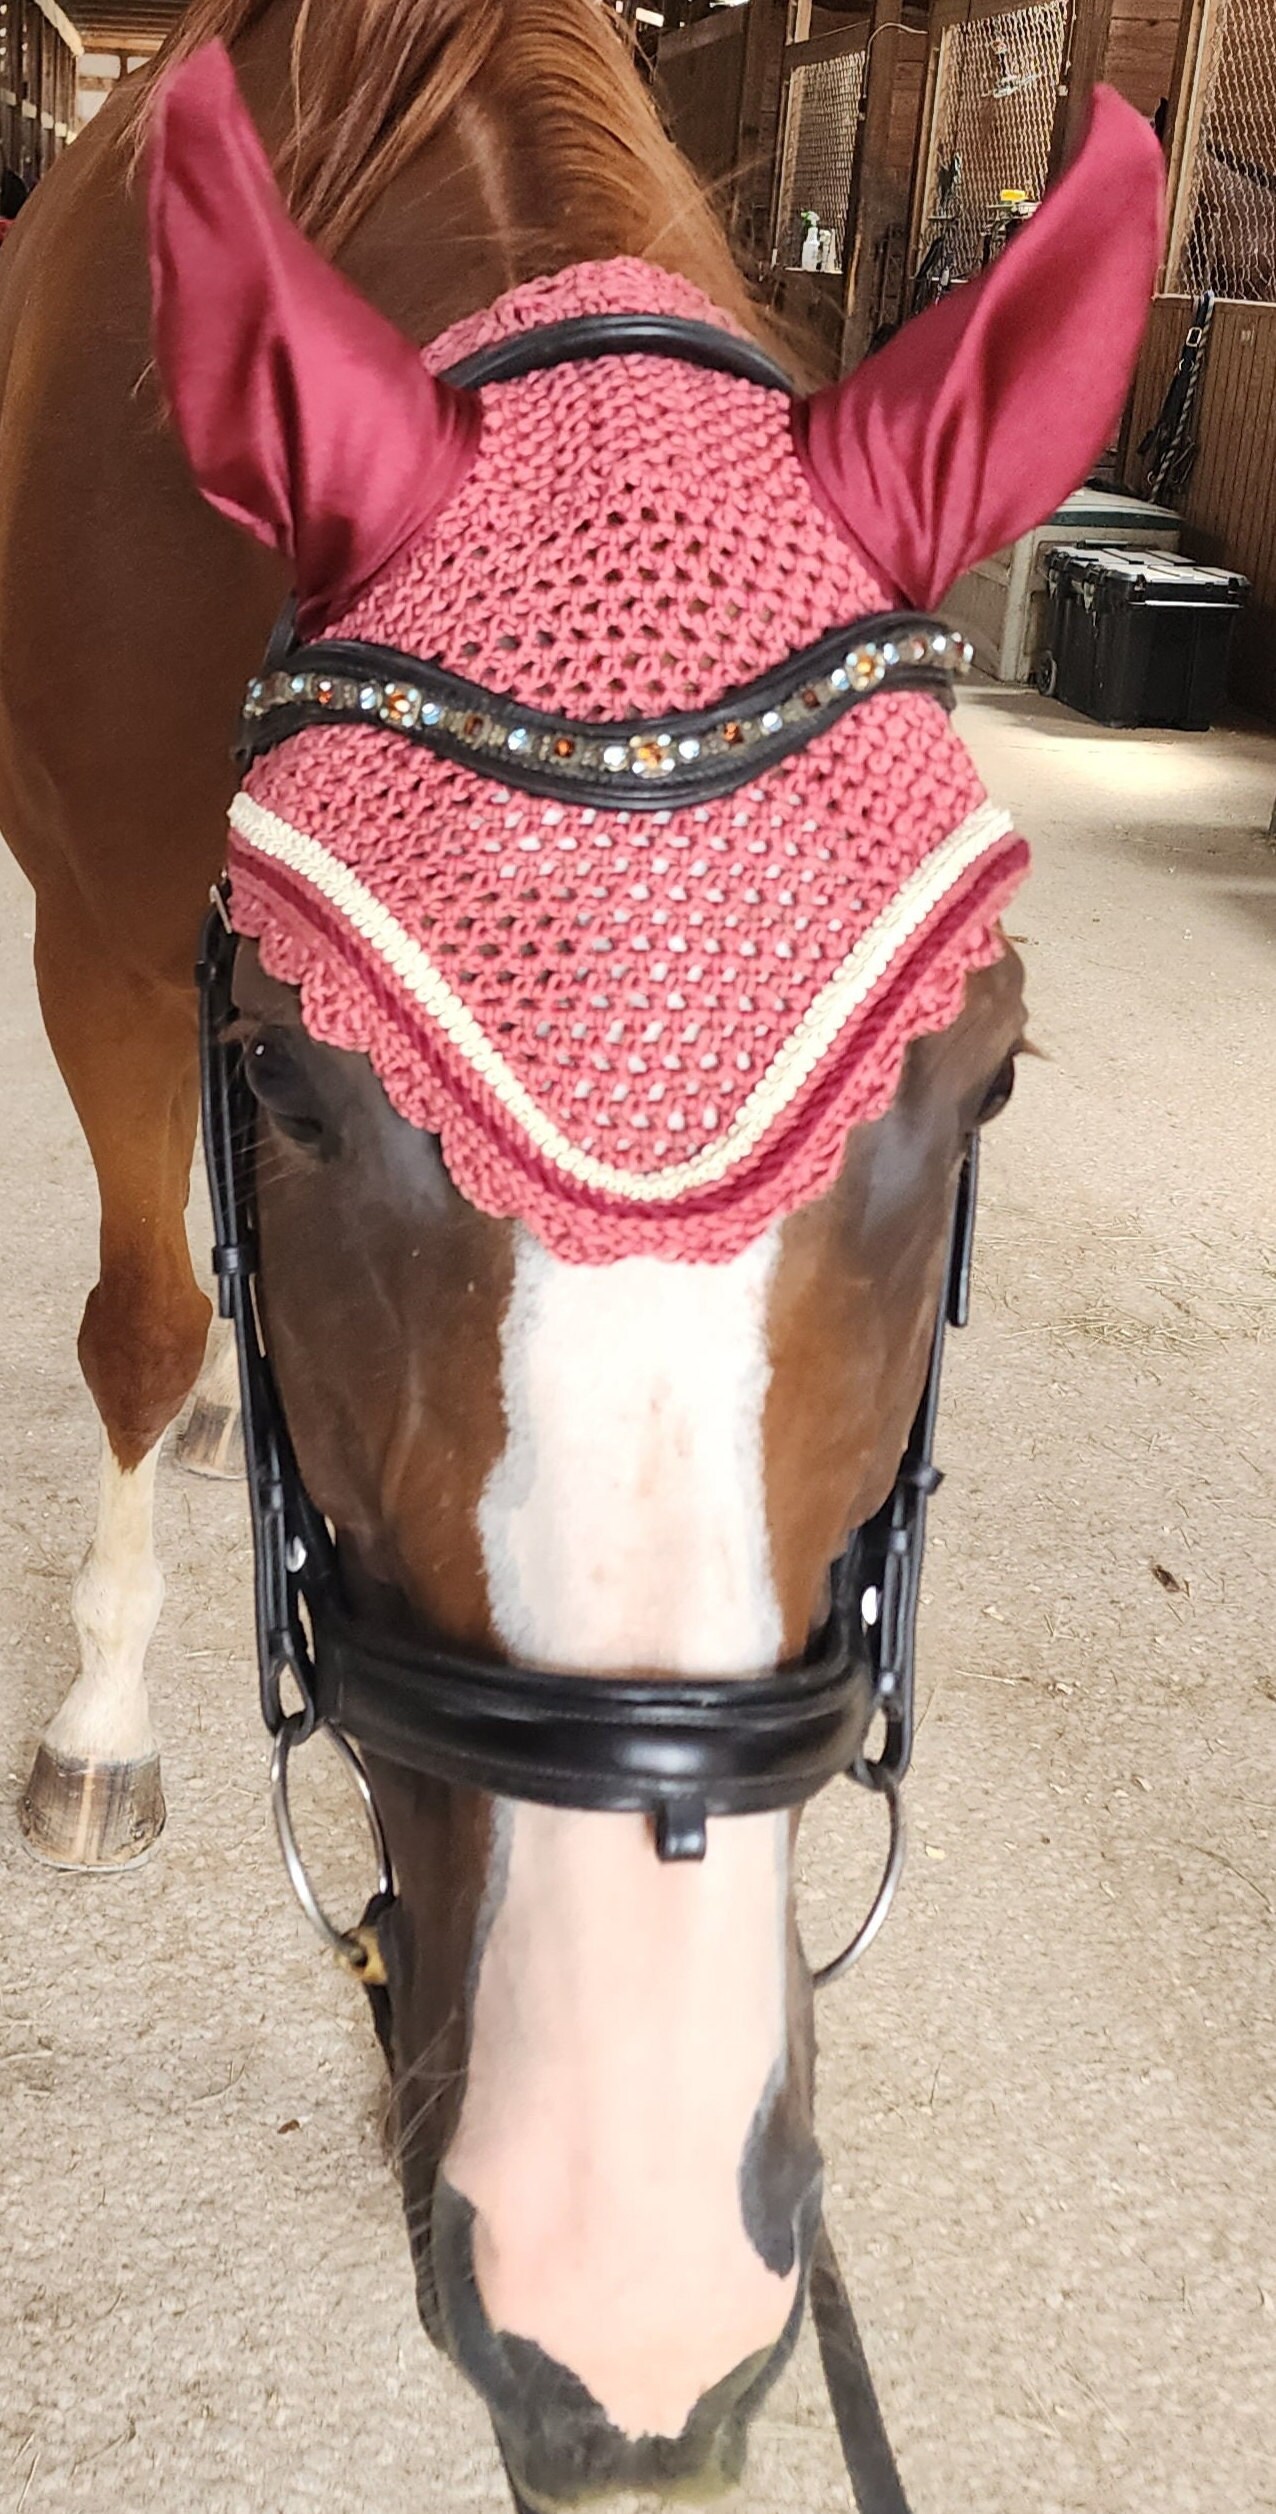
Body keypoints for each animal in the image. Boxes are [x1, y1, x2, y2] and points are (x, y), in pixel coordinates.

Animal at [0, 8, 1162, 2503]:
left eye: (981, 1087)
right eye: (293, 1081)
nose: (622, 2302)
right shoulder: (114, 958)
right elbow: (136, 1325)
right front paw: (104, 1717)